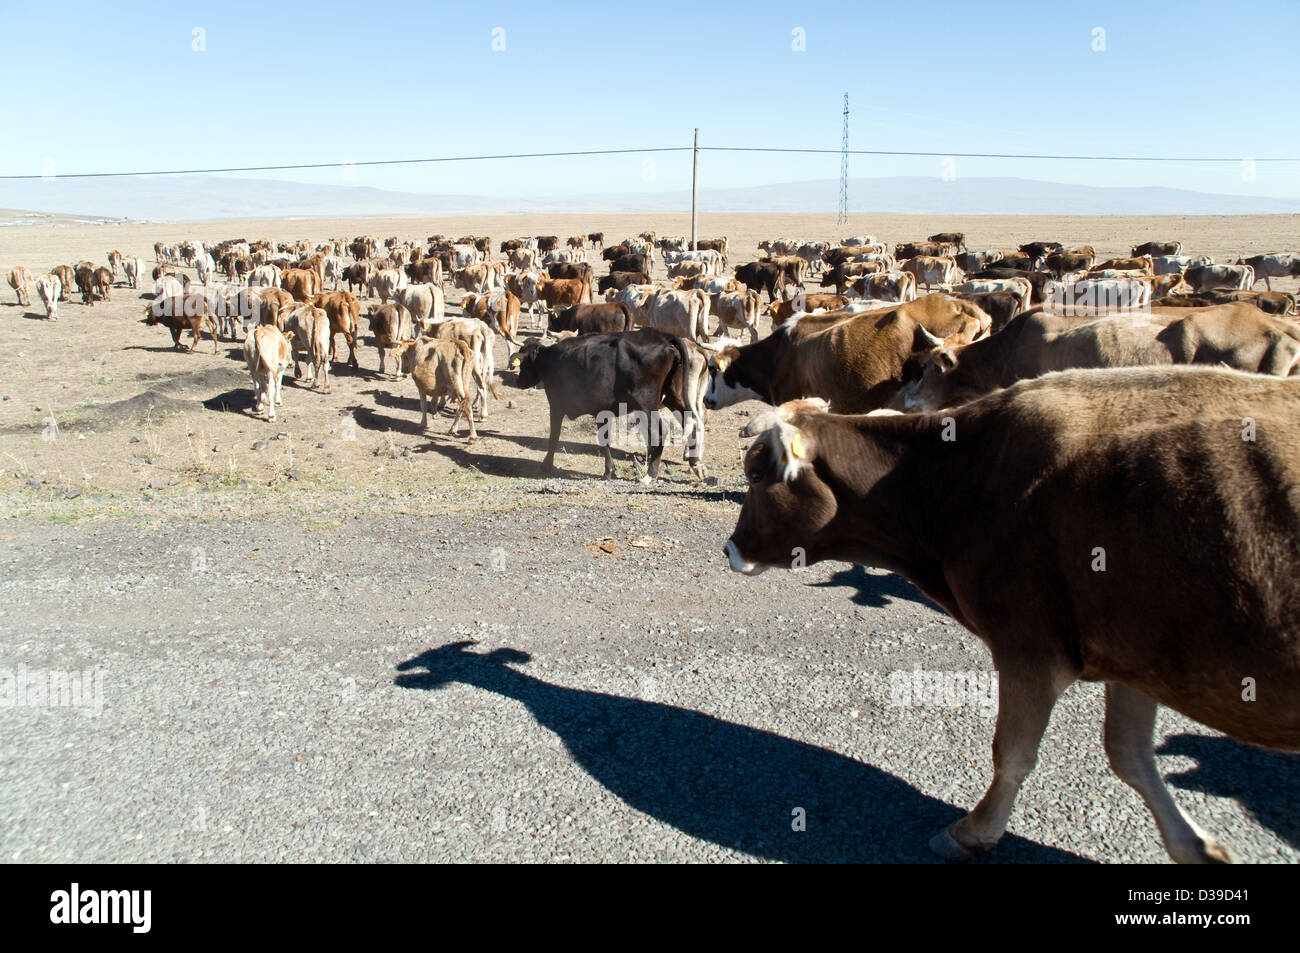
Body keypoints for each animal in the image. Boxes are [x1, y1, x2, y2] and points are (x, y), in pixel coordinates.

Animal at [509, 329, 702, 482]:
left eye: (523, 363)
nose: (518, 382)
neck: (550, 360)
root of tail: (663, 336)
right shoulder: (601, 411)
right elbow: (605, 440)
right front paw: (610, 470)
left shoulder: (557, 405)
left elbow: (554, 437)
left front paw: (546, 465)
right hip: (672, 396)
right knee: (692, 421)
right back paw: (696, 464)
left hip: (646, 405)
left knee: (661, 433)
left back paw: (650, 475)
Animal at [722, 368, 1300, 863]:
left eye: (756, 473)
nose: (729, 549)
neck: (954, 482)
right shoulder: (1136, 655)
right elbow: (1129, 754)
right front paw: (1195, 847)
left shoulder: (1030, 647)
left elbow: (1013, 753)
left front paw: (973, 832)